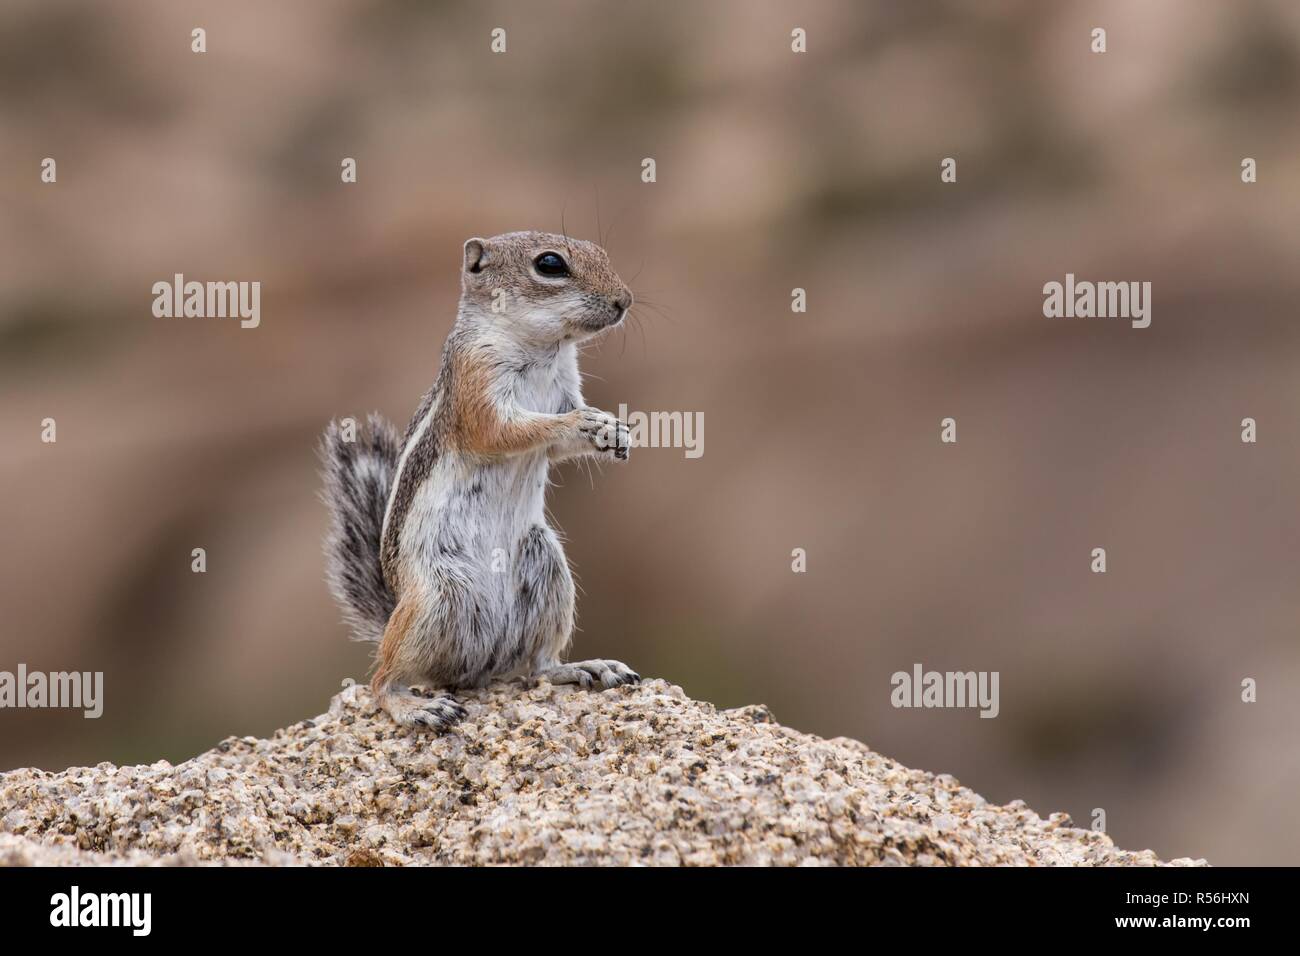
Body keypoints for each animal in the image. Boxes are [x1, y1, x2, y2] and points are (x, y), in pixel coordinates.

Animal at [320, 231, 640, 730]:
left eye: (601, 252)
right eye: (550, 265)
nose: (623, 301)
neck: (544, 348)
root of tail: (480, 669)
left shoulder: (566, 384)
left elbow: (555, 446)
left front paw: (615, 432)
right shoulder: (477, 382)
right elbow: (504, 431)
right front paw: (582, 424)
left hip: (547, 569)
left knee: (537, 665)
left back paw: (584, 667)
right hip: (436, 597)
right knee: (381, 679)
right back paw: (415, 705)